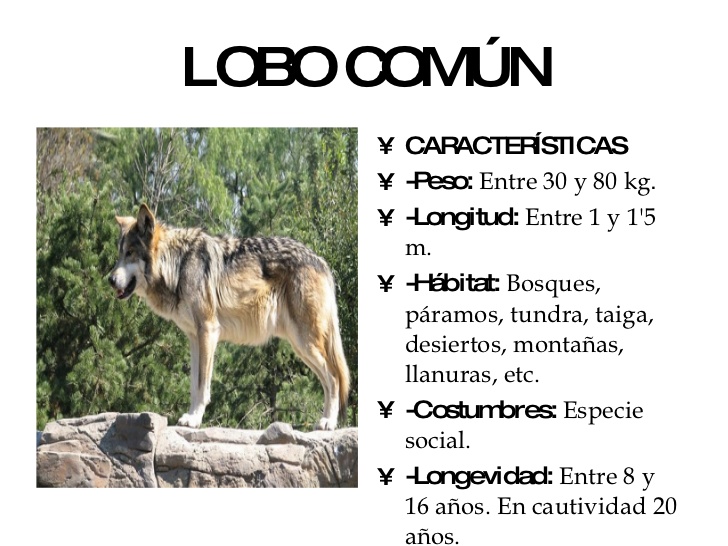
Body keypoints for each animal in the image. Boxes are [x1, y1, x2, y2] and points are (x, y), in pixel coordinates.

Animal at [108, 204, 350, 430]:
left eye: (130, 252)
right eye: (120, 254)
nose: (109, 279)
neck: (178, 264)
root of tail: (321, 260)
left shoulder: (208, 331)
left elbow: (202, 386)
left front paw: (195, 419)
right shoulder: (194, 338)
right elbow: (193, 386)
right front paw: (189, 417)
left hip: (305, 341)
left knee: (335, 377)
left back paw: (328, 422)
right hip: (300, 346)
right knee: (329, 380)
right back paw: (325, 421)